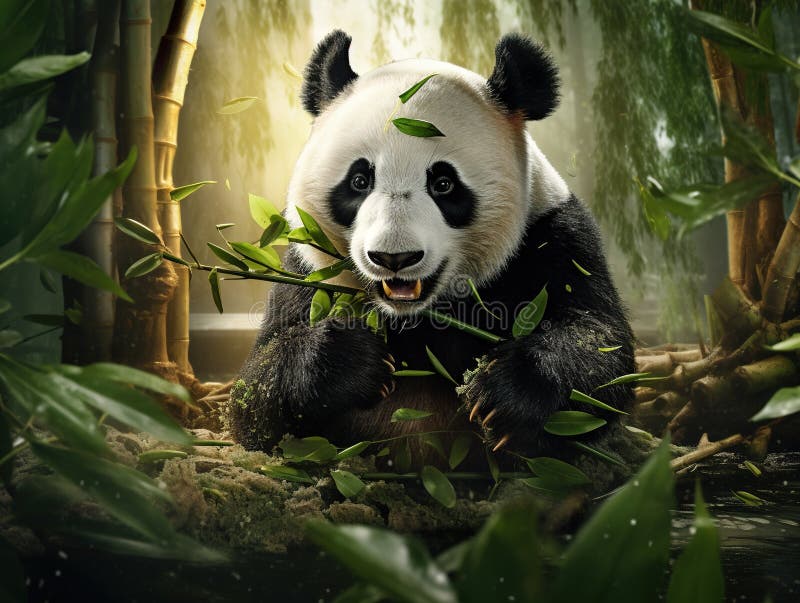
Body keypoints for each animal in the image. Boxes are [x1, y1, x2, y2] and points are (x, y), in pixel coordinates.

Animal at [229, 31, 635, 459]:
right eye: (359, 180)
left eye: (443, 183)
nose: (394, 257)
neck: (416, 314)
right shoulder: (307, 268)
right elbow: (255, 396)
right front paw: (353, 361)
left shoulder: (554, 237)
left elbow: (598, 349)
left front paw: (502, 394)